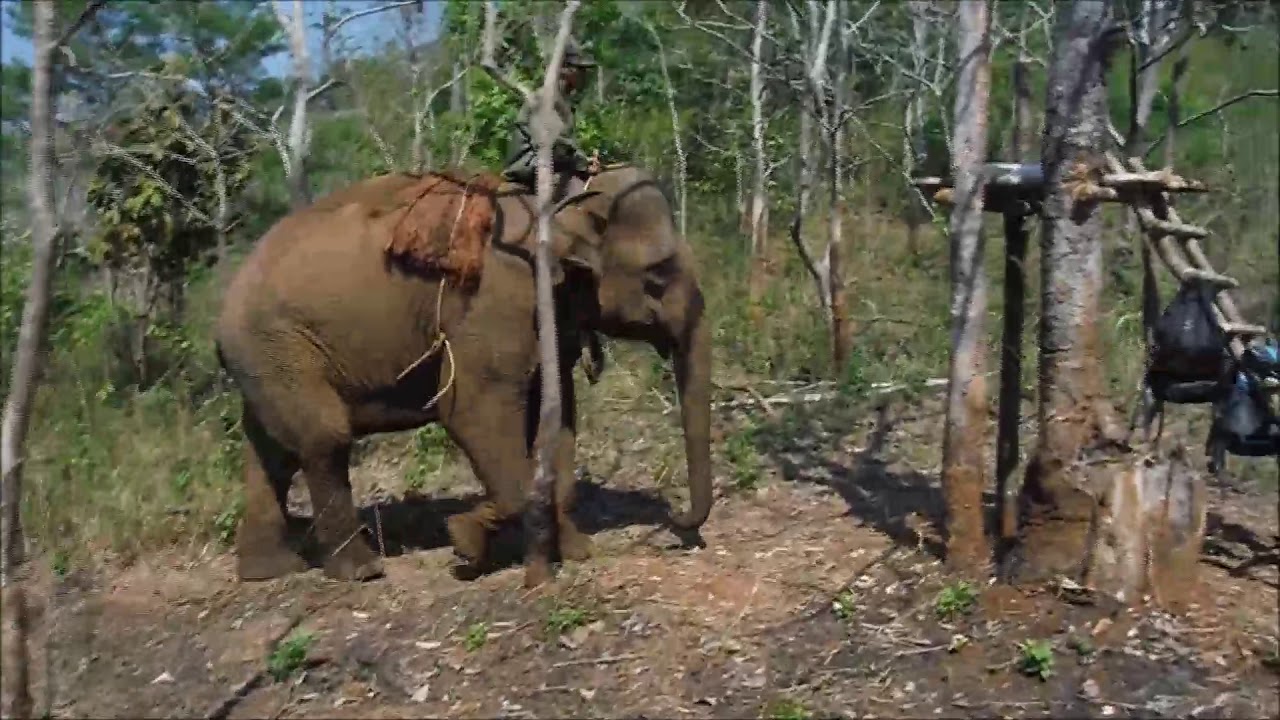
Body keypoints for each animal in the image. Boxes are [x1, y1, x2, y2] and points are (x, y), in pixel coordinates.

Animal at [214, 165, 712, 585]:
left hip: (264, 361)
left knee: (270, 451)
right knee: (324, 437)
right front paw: (465, 543)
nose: (676, 521)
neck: (557, 202)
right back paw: (362, 571)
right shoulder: (493, 306)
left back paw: (270, 569)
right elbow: (470, 412)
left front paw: (576, 552)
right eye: (657, 275)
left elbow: (558, 420)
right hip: (279, 346)